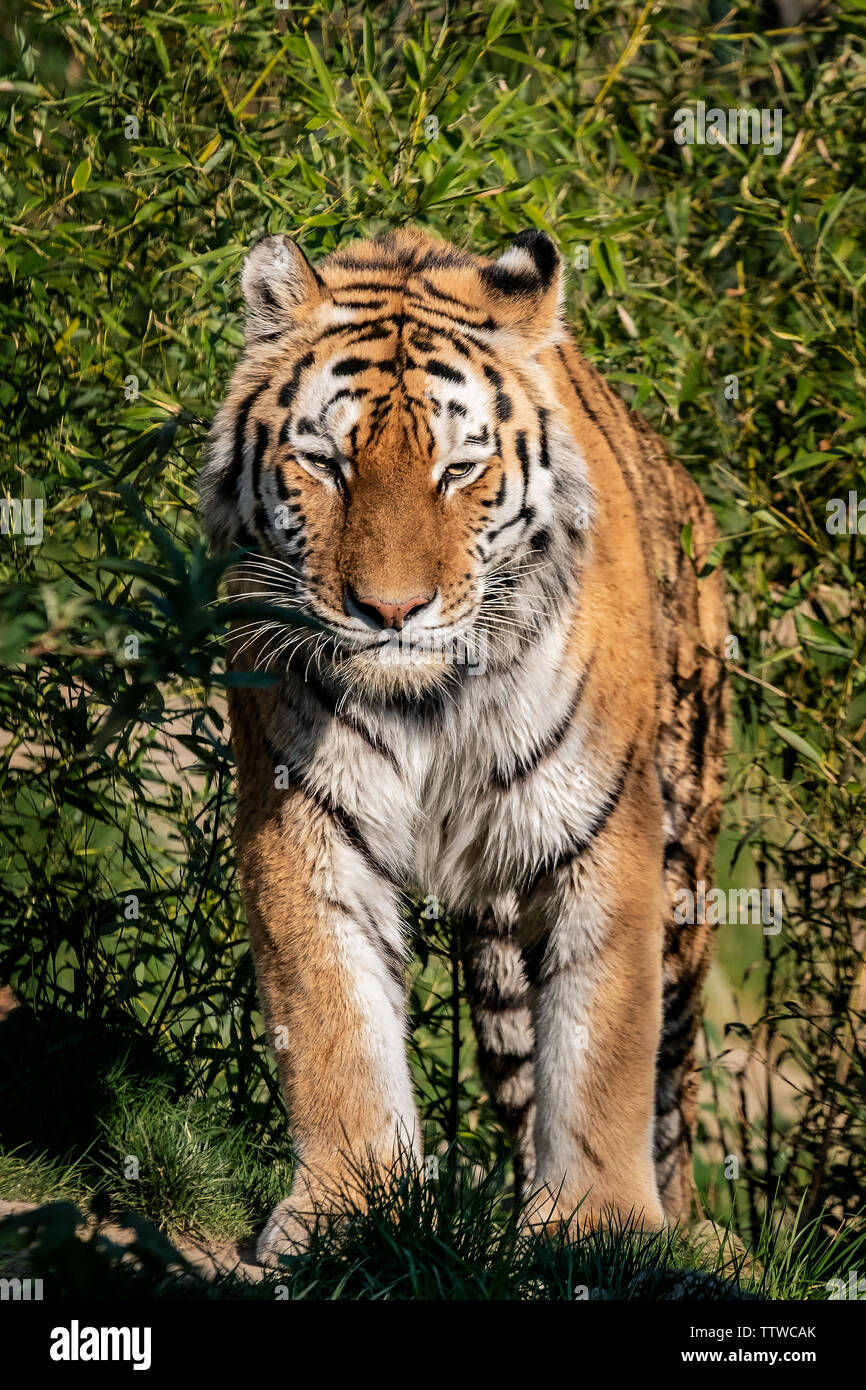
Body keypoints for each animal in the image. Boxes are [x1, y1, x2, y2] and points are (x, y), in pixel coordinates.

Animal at [199, 225, 728, 1265]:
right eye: (326, 463)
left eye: (457, 469)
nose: (391, 610)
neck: (430, 705)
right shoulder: (303, 817)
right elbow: (333, 1018)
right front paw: (347, 1207)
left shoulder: (604, 833)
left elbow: (606, 1047)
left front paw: (598, 1227)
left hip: (686, 871)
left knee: (672, 1088)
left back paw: (686, 1232)